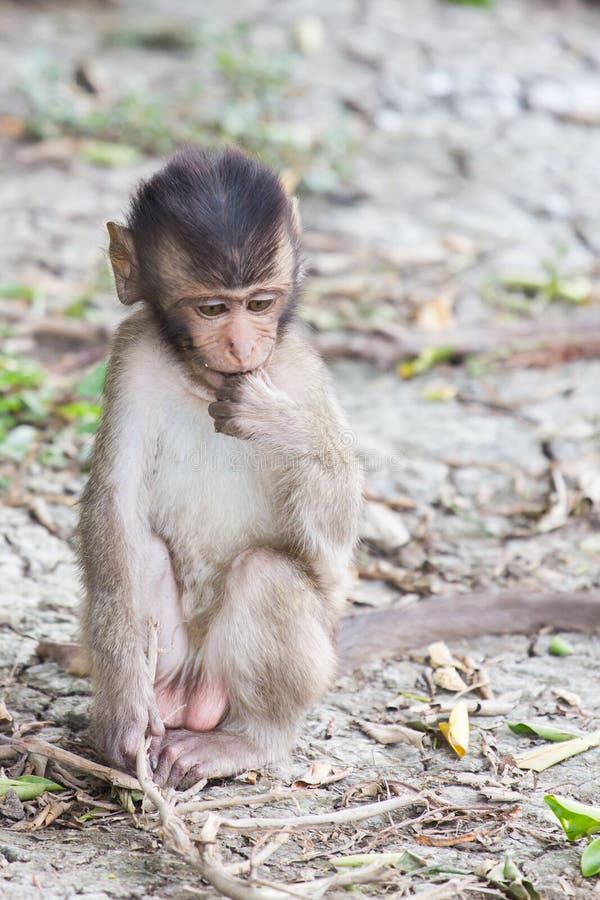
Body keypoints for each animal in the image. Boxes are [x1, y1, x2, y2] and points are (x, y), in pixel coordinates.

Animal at [77, 145, 600, 790]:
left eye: (259, 304)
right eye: (212, 308)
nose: (243, 348)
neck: (201, 380)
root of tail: (195, 690)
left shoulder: (301, 371)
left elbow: (334, 539)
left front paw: (279, 423)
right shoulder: (131, 354)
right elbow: (116, 505)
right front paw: (123, 711)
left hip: (302, 664)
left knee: (266, 575)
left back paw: (252, 740)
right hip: (174, 666)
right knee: (142, 555)